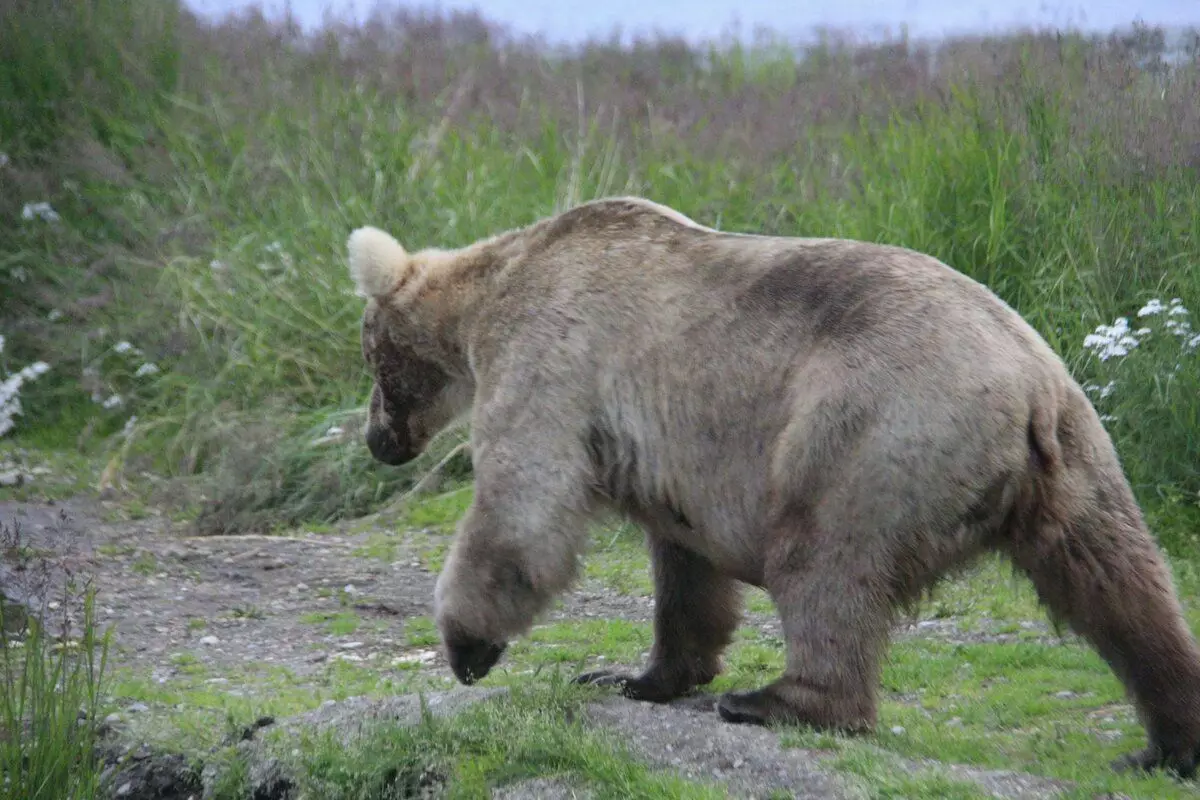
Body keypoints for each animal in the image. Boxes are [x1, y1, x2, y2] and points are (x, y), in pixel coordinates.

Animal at [348, 196, 1200, 777]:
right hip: (1079, 456)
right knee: (1120, 586)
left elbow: (523, 505)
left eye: (372, 359)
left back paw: (781, 701)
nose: (377, 441)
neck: (488, 293)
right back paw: (1167, 740)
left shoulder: (551, 356)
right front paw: (638, 674)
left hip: (870, 425)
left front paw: (468, 646)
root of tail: (1026, 387)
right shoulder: (669, 451)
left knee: (824, 560)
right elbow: (685, 570)